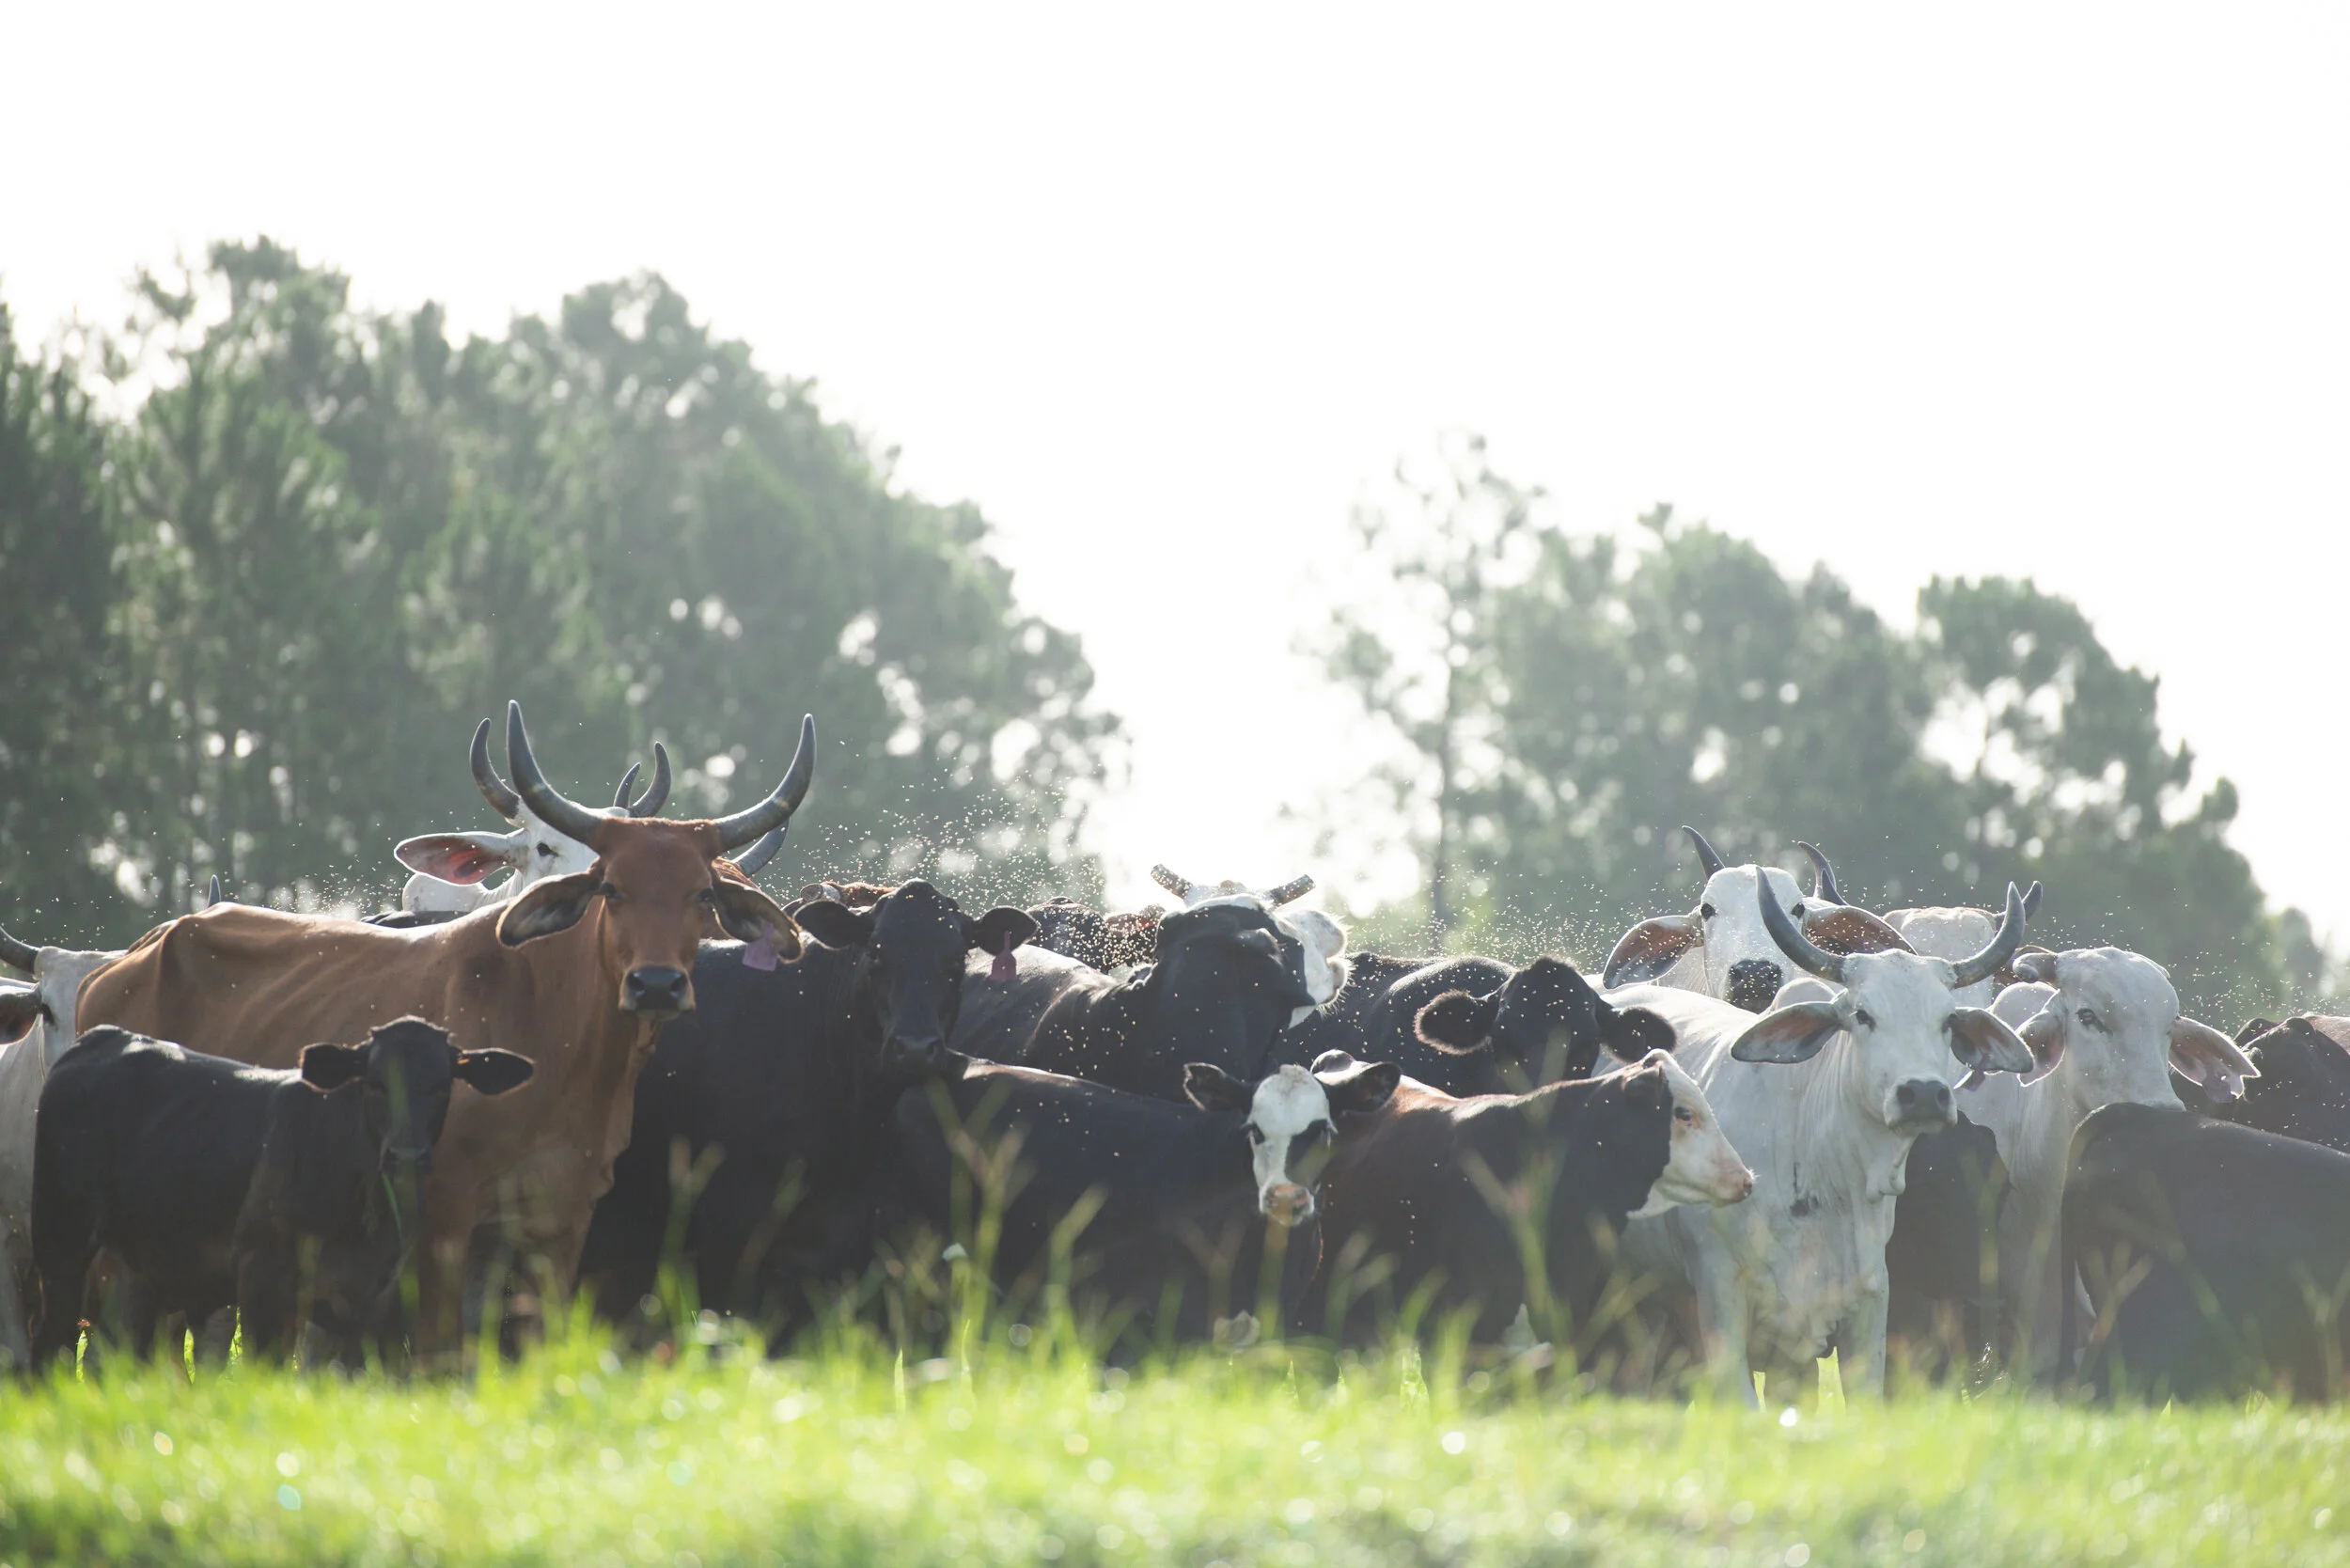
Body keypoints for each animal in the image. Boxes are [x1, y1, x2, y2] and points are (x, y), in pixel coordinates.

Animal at [27, 1019, 534, 1370]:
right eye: (374, 1083)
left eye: (440, 1085)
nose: (406, 1155)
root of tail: (105, 1037)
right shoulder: (261, 1279)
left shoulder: (373, 1298)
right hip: (61, 1250)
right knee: (49, 1346)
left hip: (139, 1273)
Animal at [75, 701, 814, 1359]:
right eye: (612, 887)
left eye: (703, 892)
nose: (656, 984)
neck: (555, 1041)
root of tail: (134, 956)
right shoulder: (444, 1222)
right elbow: (438, 1352)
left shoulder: (560, 1221)